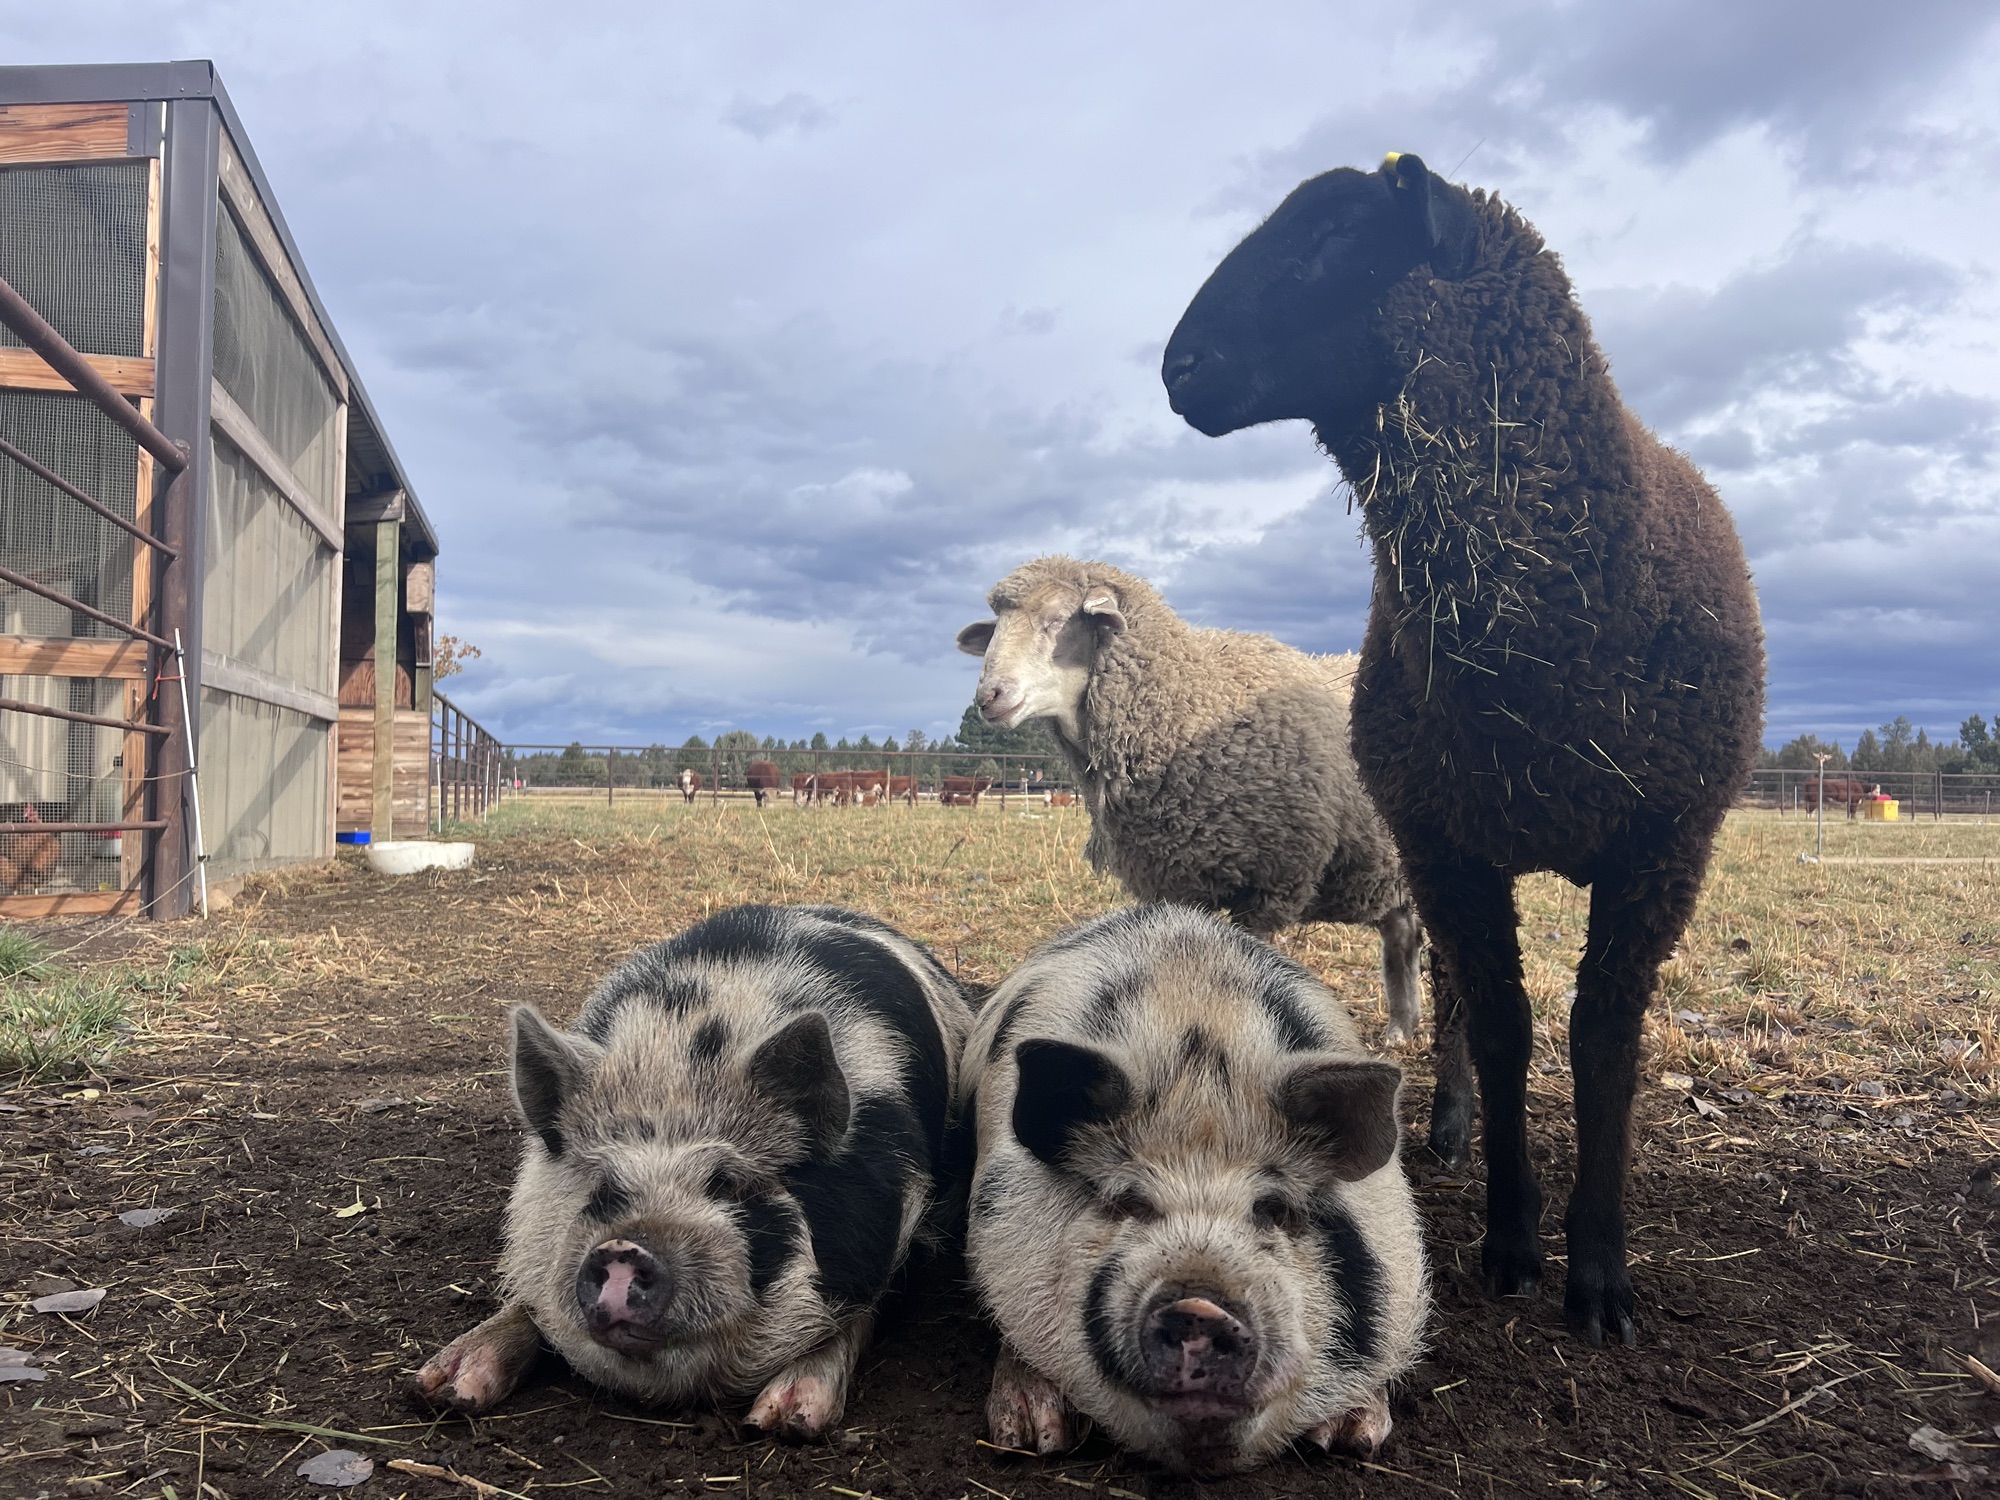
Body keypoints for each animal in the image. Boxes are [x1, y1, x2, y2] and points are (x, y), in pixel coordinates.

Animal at [956, 556, 1425, 1043]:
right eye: (995, 629)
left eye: (1055, 621)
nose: (988, 697)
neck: (1191, 701)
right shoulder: (1176, 882)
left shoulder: (1272, 881)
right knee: (1402, 932)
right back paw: (1402, 1026)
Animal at [1162, 152, 1766, 1346]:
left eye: (1334, 231)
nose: (1177, 368)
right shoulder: (1451, 840)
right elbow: (1503, 1028)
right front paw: (1510, 1238)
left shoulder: (1660, 845)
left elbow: (1602, 1040)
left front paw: (1598, 1273)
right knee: (1451, 987)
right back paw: (1448, 1126)